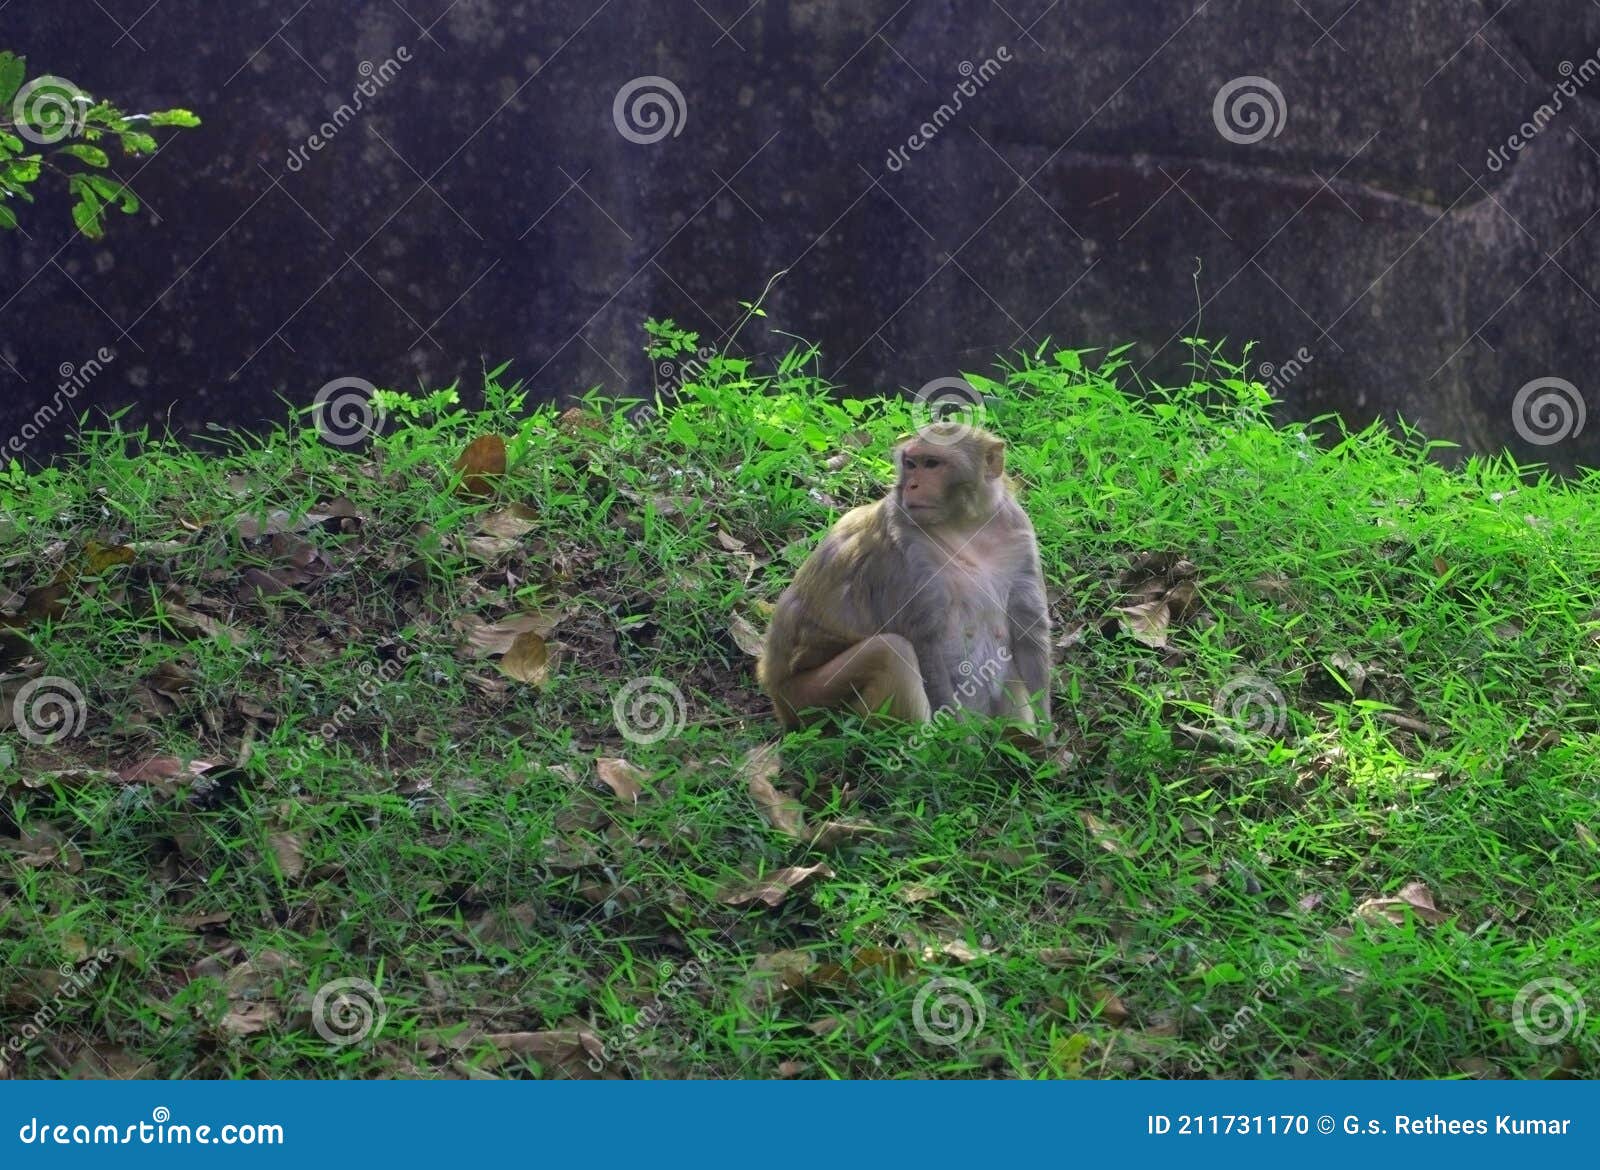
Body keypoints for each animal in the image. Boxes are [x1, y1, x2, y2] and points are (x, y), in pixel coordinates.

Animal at [757, 424, 1051, 732]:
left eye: (932, 464)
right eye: (911, 464)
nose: (912, 485)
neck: (965, 525)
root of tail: (776, 695)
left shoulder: (1018, 531)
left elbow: (1029, 634)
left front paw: (1046, 739)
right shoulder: (904, 553)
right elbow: (925, 643)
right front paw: (957, 741)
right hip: (810, 700)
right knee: (891, 651)